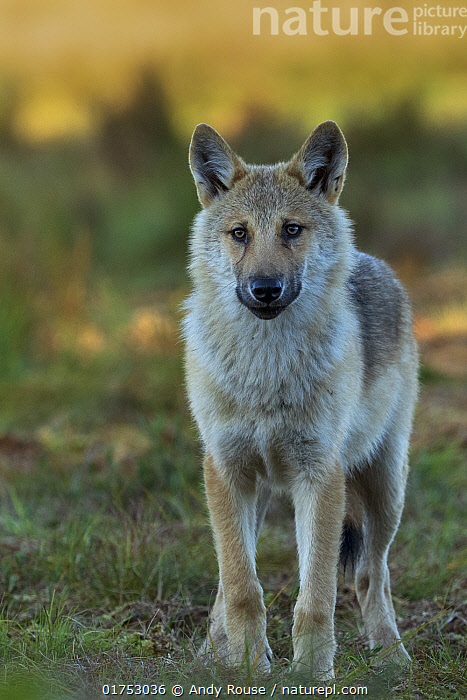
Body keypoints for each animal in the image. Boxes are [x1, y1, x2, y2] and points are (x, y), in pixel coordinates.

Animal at [183, 120, 418, 679]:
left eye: (291, 230)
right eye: (240, 233)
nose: (265, 288)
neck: (266, 375)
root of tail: (375, 261)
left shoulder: (321, 475)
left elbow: (317, 597)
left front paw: (311, 673)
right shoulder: (224, 469)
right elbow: (241, 587)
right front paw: (248, 665)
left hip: (386, 490)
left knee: (371, 576)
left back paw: (392, 656)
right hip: (256, 492)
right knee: (227, 582)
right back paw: (210, 652)